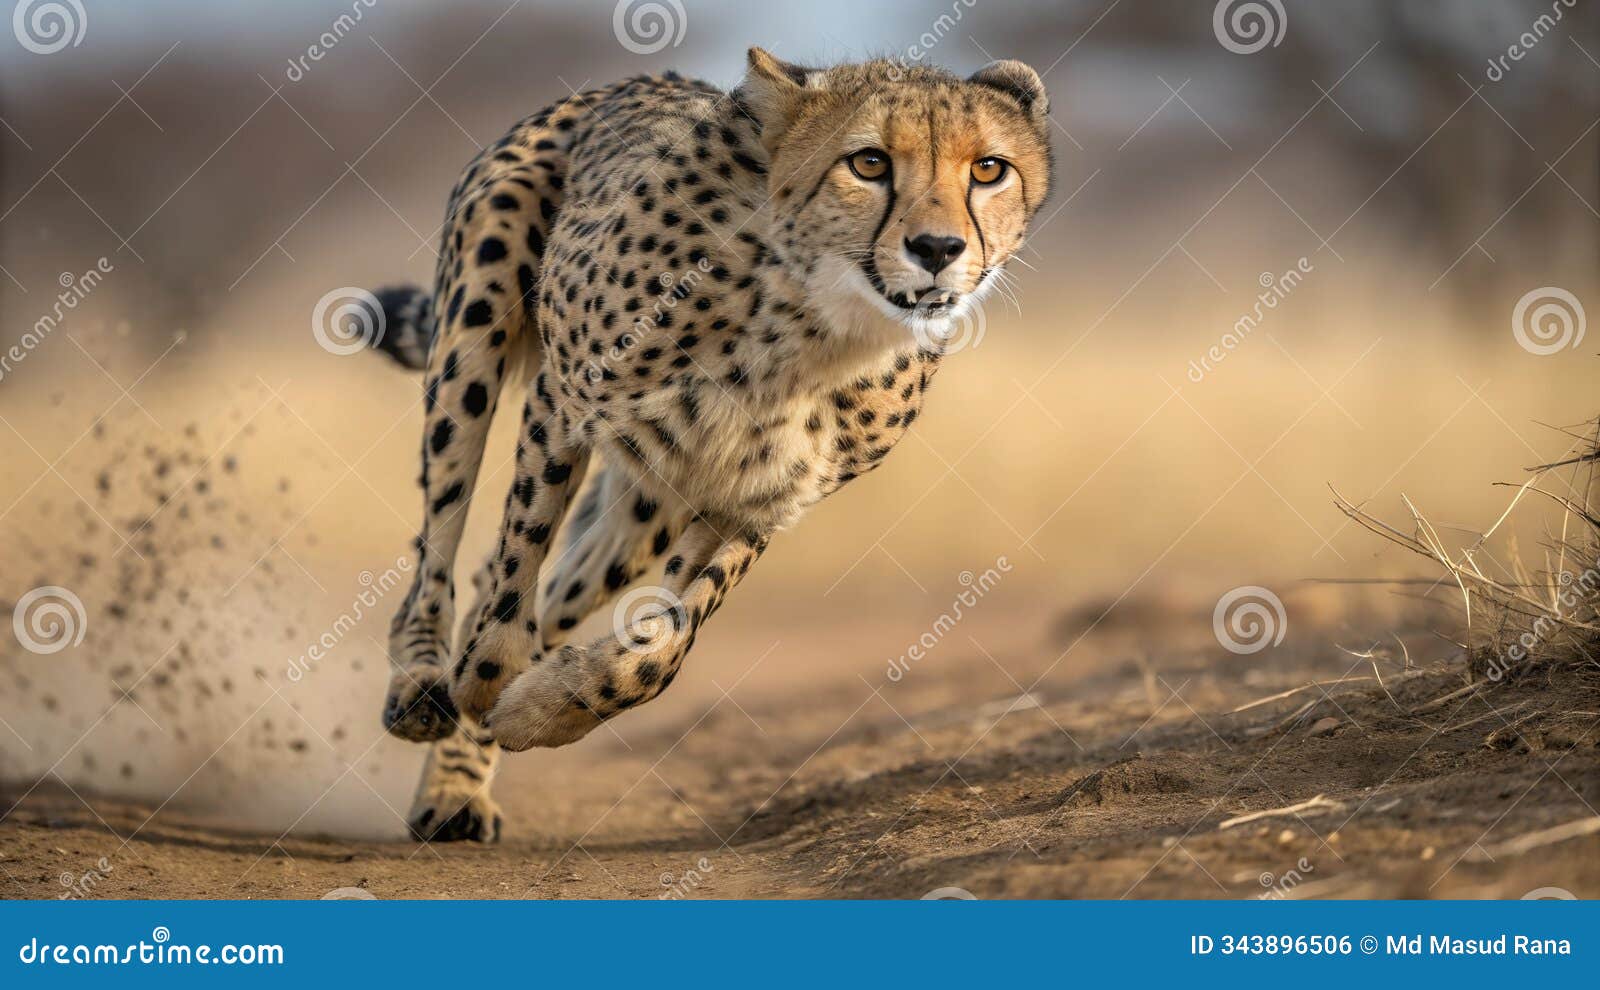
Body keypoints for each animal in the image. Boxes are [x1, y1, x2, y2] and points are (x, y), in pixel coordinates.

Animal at [362, 48, 1052, 842]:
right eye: (870, 162)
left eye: (989, 169)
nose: (937, 249)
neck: (817, 325)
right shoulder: (564, 400)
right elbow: (517, 555)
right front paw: (484, 678)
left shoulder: (755, 499)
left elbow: (663, 644)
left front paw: (545, 708)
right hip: (475, 319)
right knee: (443, 543)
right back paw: (424, 689)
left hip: (642, 512)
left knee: (555, 583)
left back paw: (462, 778)